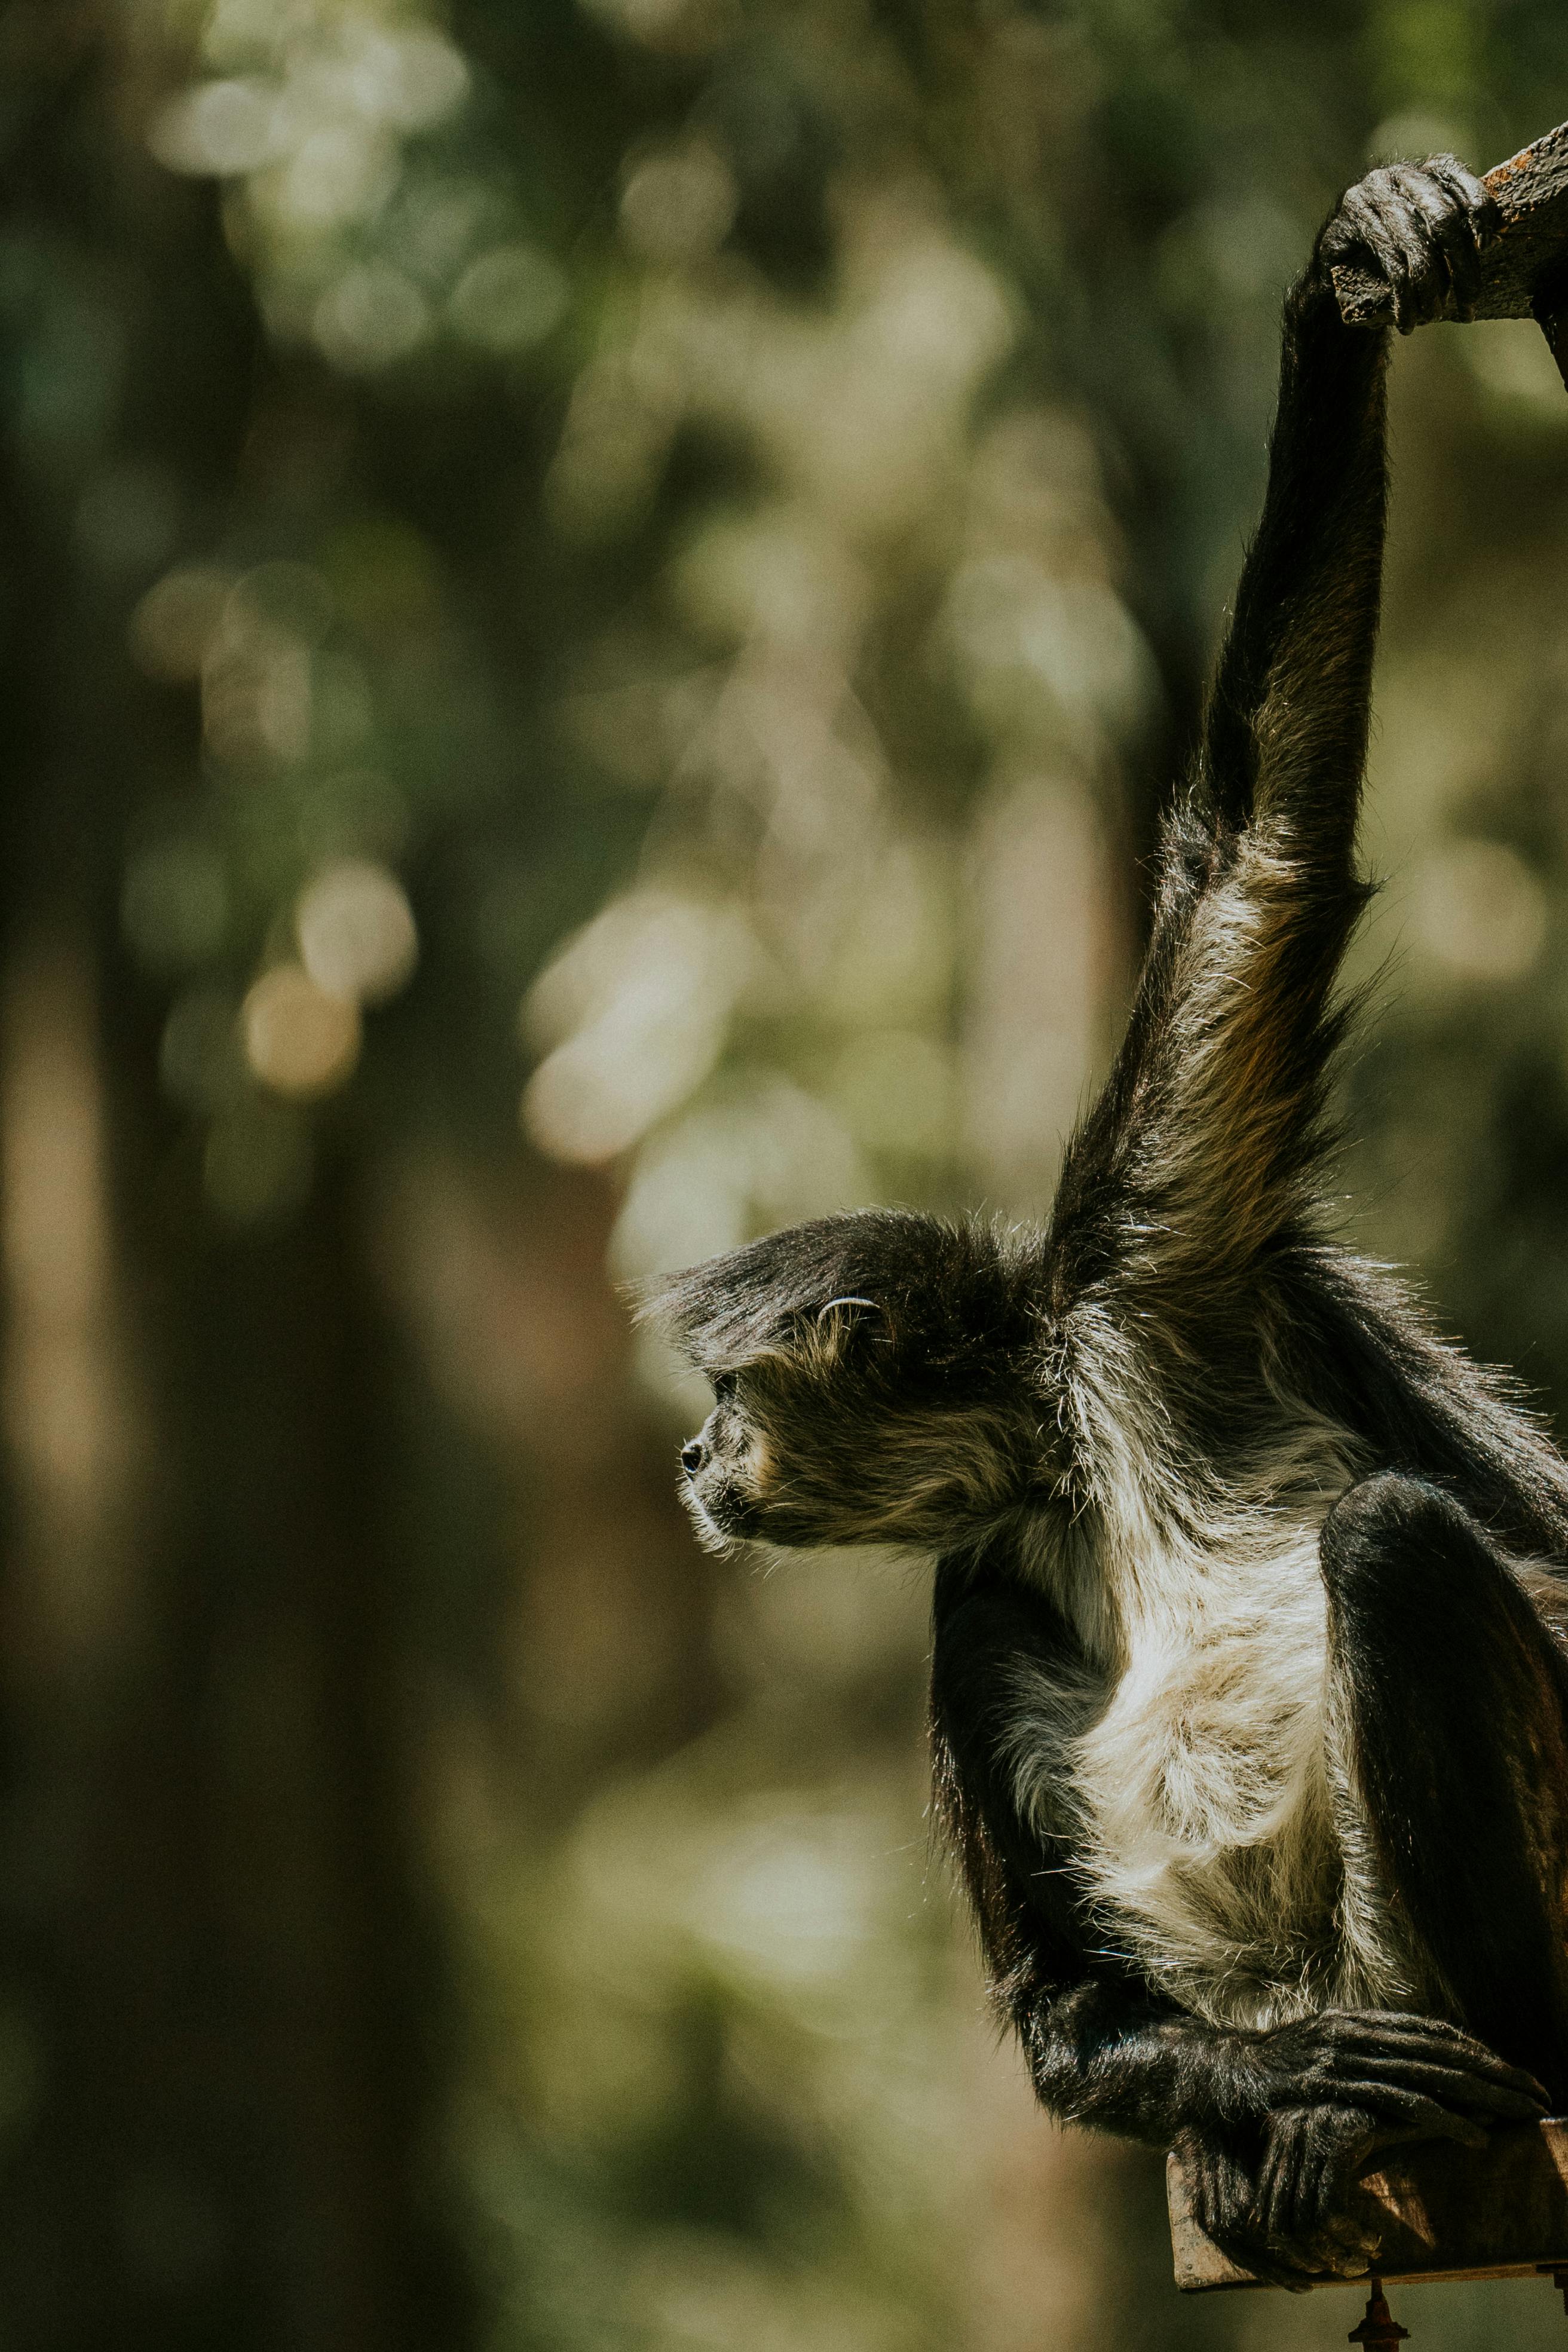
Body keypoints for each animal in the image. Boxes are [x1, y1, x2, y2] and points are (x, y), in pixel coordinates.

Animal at [641, 155, 1568, 2287]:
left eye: (729, 1403)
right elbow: (1061, 2019)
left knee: (1393, 1538)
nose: (690, 1462)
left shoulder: (1150, 1263)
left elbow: (1259, 846)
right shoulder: (976, 1558)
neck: (1066, 1444)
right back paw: (1292, 2104)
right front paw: (1256, 2086)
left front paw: (1338, 291)